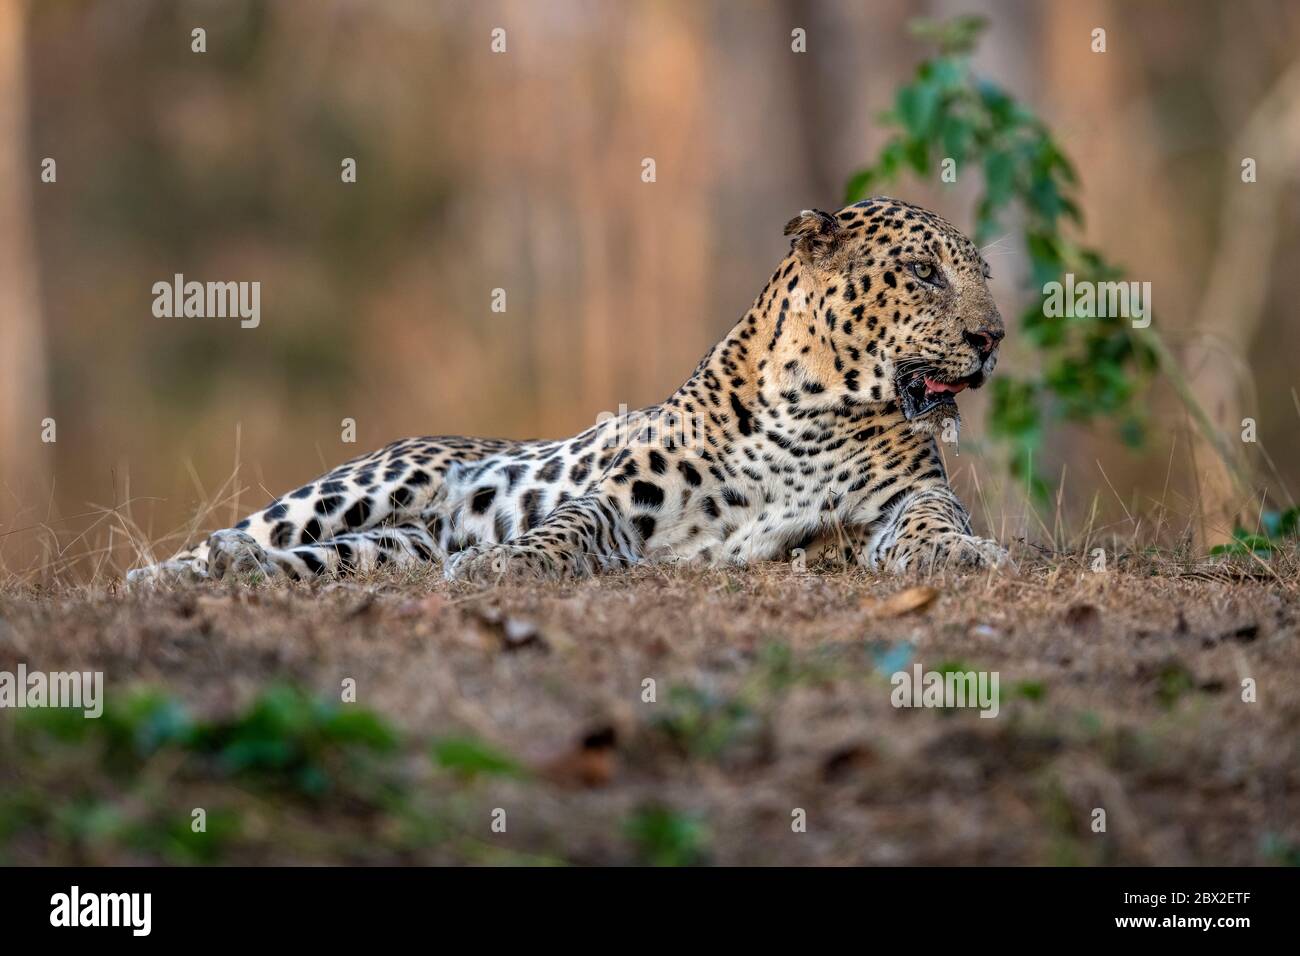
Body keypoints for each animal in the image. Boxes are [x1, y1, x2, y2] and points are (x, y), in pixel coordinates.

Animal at [127, 197, 1008, 586]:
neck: (814, 410)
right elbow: (565, 525)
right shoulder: (621, 502)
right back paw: (175, 574)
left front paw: (966, 552)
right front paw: (503, 559)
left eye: (984, 277)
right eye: (924, 272)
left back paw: (237, 570)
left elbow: (931, 519)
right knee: (236, 535)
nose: (993, 339)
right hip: (368, 483)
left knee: (314, 560)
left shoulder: (898, 499)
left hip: (393, 547)